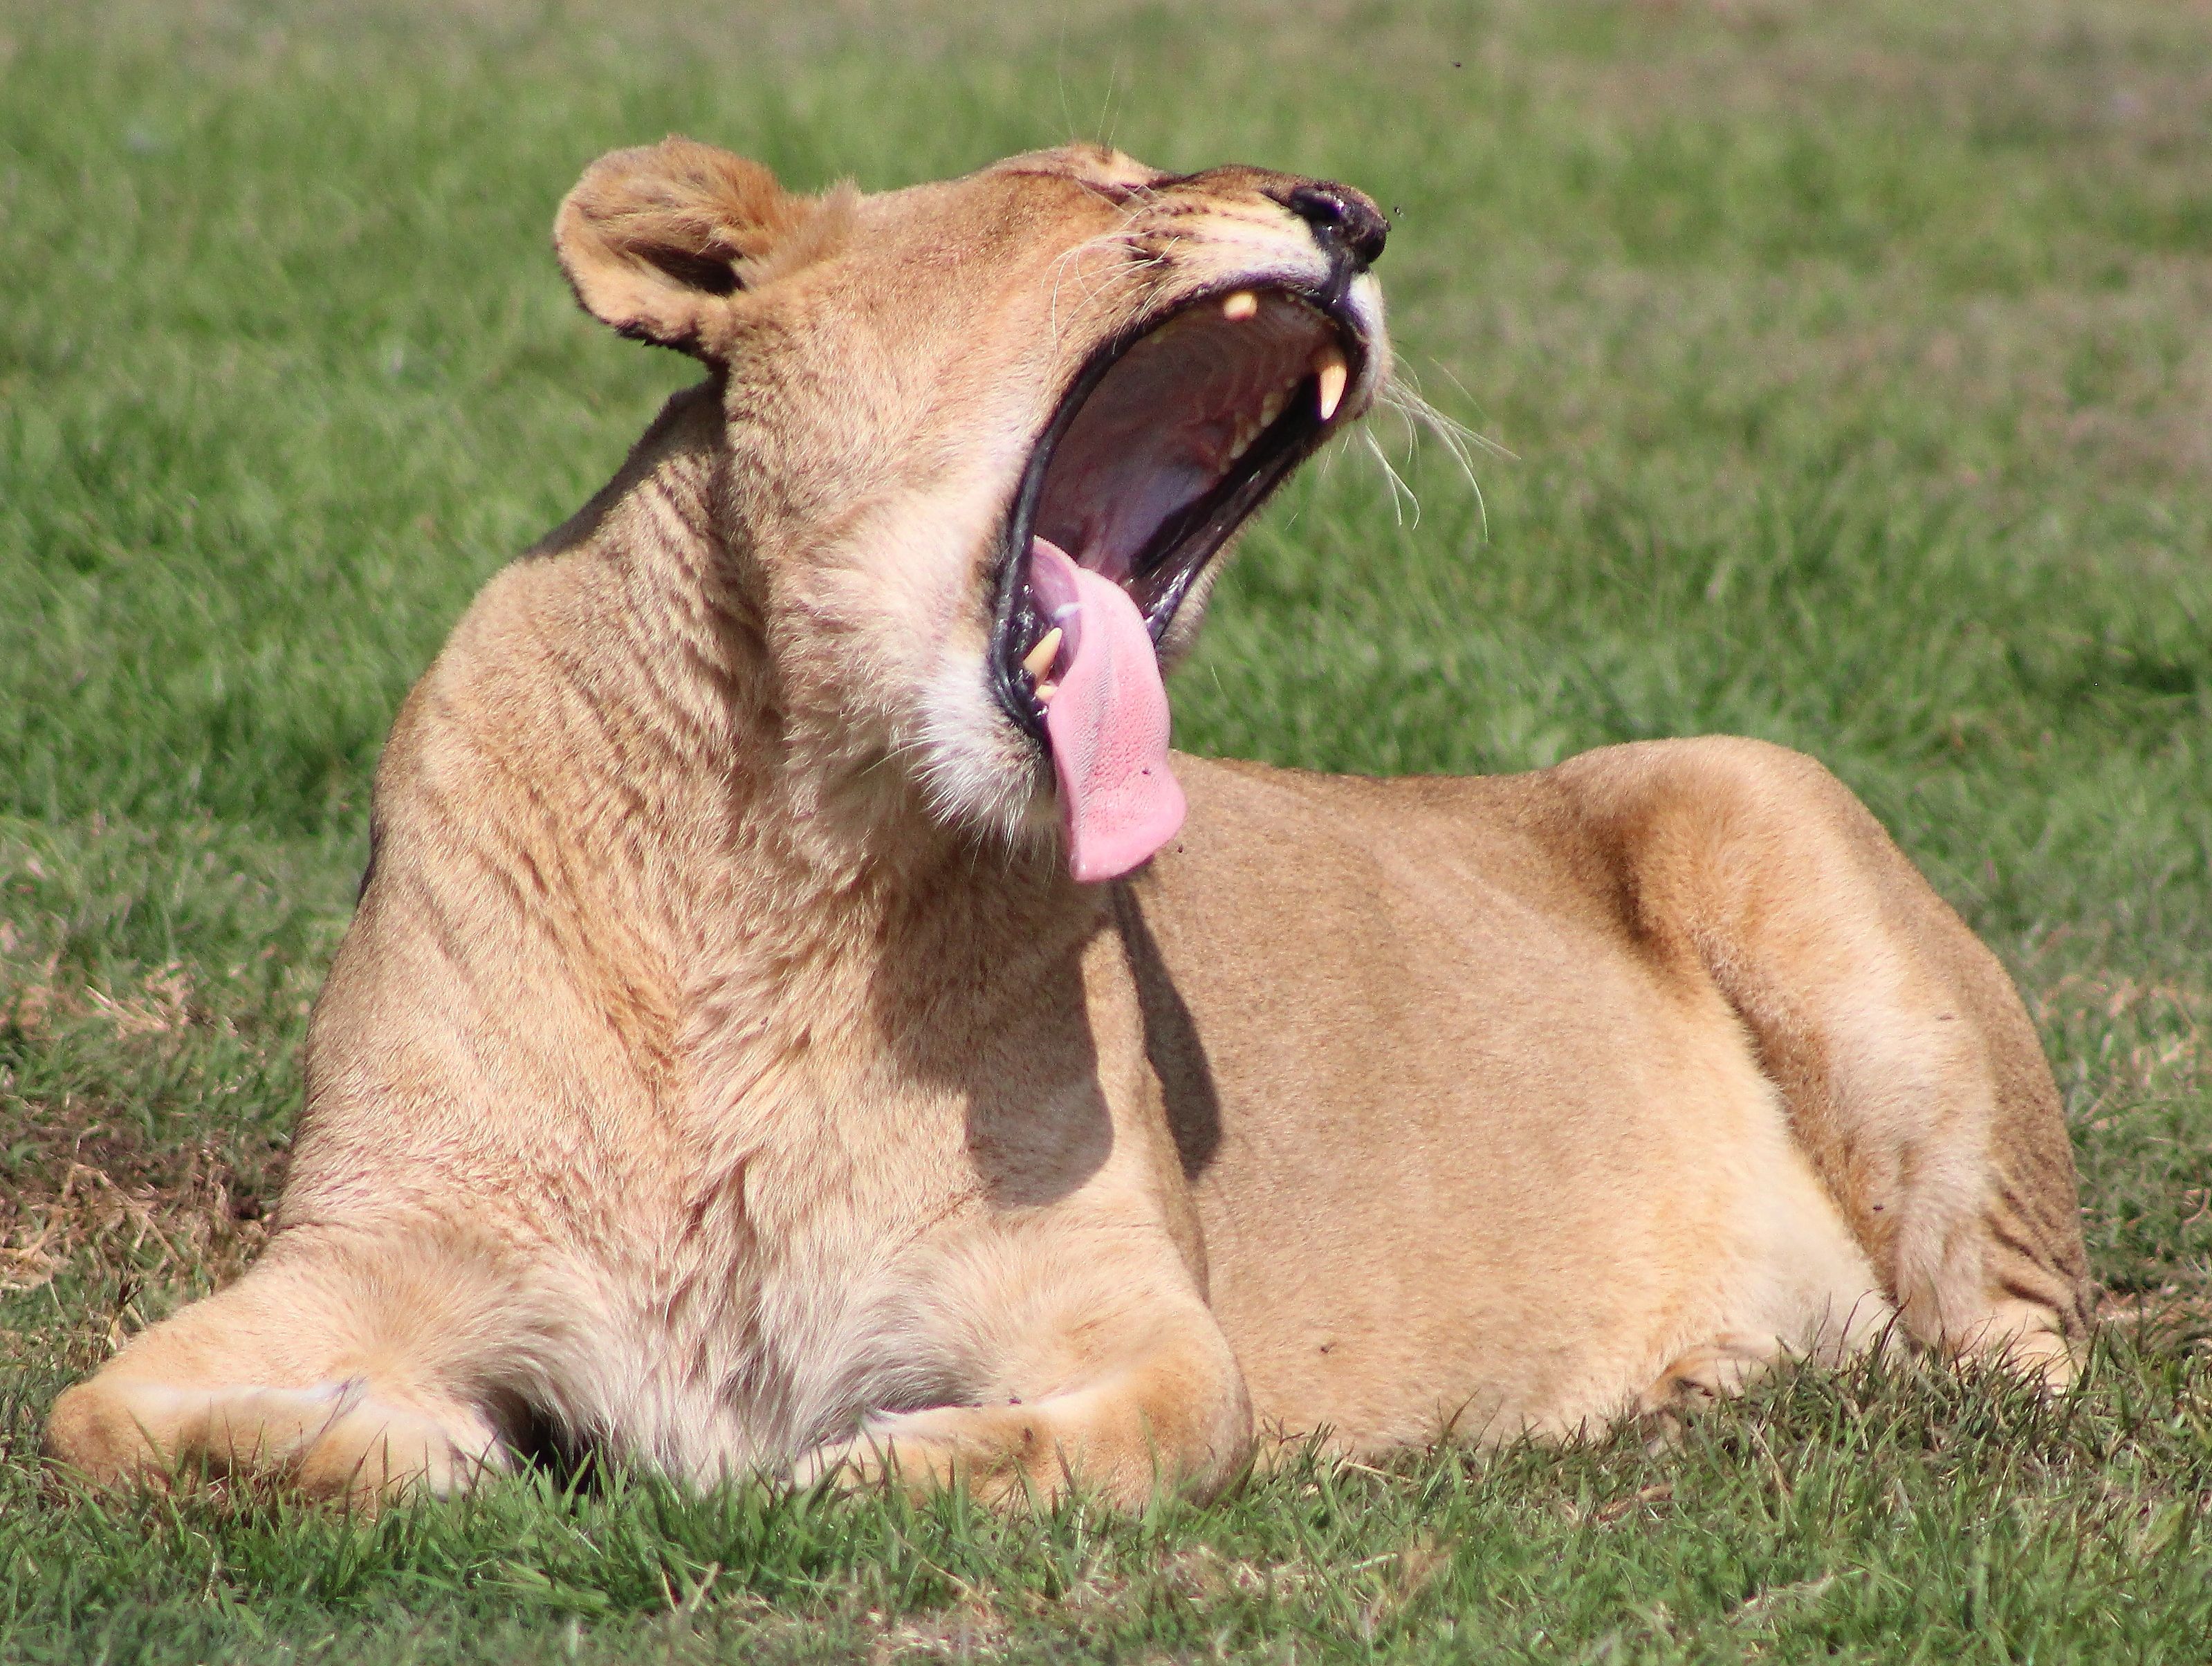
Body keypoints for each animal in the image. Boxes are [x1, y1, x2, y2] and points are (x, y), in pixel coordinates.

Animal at [43, 139, 2091, 1509]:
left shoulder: (1134, 1327)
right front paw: (415, 1446)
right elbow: (96, 1419)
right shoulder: (356, 1253)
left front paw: (827, 1472)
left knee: (2024, 1348)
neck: (776, 854)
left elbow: (1050, 1448)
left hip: (1759, 799)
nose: (1353, 217)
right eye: (1088, 185)